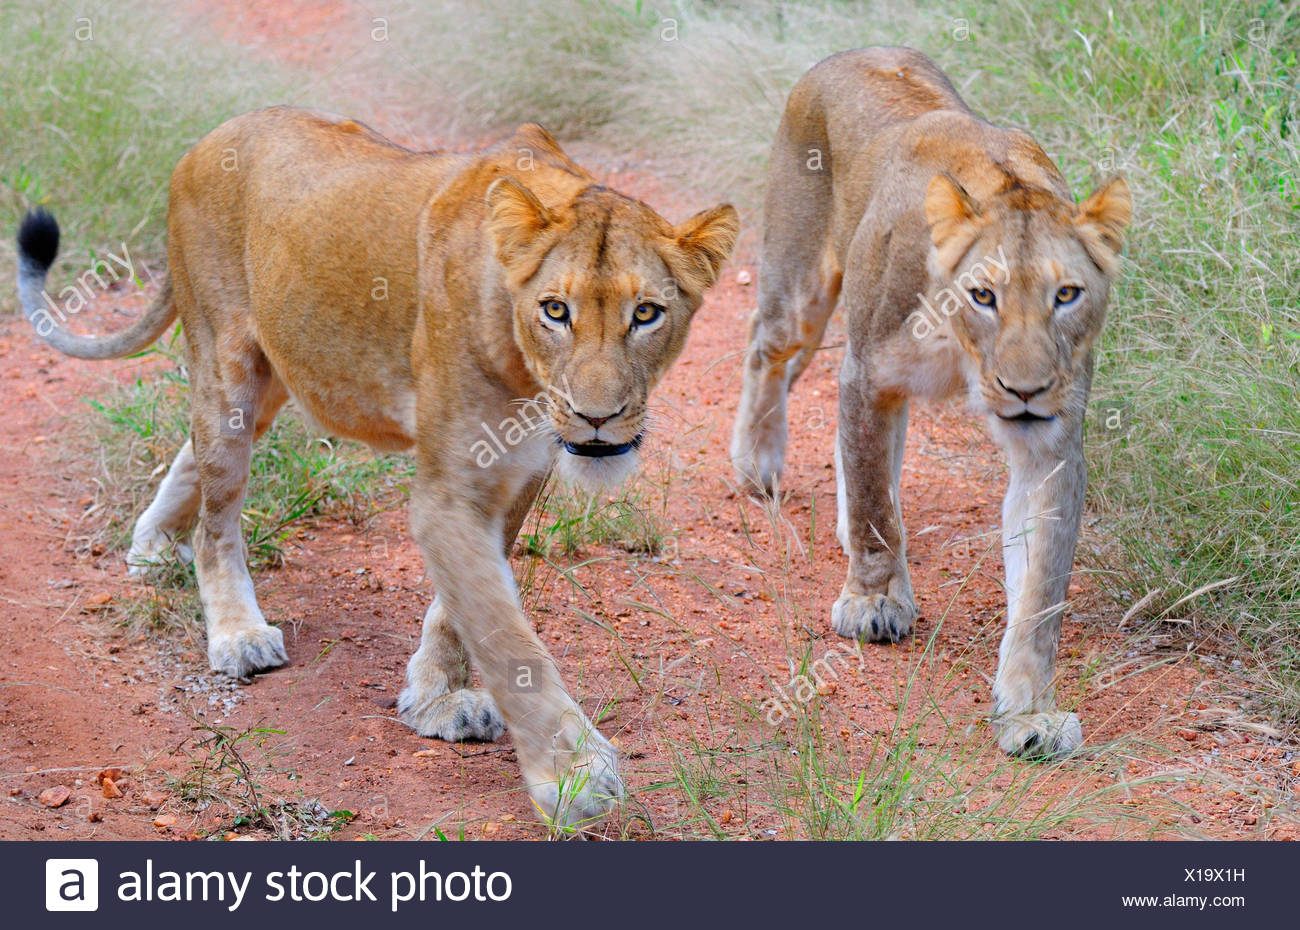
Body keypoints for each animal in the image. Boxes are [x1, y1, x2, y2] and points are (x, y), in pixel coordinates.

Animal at [17, 106, 739, 827]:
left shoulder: (520, 468)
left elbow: (463, 608)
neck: (523, 363)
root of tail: (208, 139)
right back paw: (236, 633)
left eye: (646, 314)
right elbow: (505, 635)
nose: (596, 417)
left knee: (193, 454)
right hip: (226, 363)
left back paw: (150, 546)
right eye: (556, 310)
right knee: (216, 519)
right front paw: (573, 776)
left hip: (276, 371)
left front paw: (438, 700)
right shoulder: (453, 488)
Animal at [731, 48, 1130, 756]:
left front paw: (1029, 713)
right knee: (766, 351)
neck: (963, 348)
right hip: (800, 285)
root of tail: (853, 50)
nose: (1025, 390)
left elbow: (1040, 591)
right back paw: (757, 464)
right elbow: (873, 510)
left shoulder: (1050, 441)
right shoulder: (867, 373)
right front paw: (873, 604)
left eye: (1067, 295)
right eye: (983, 295)